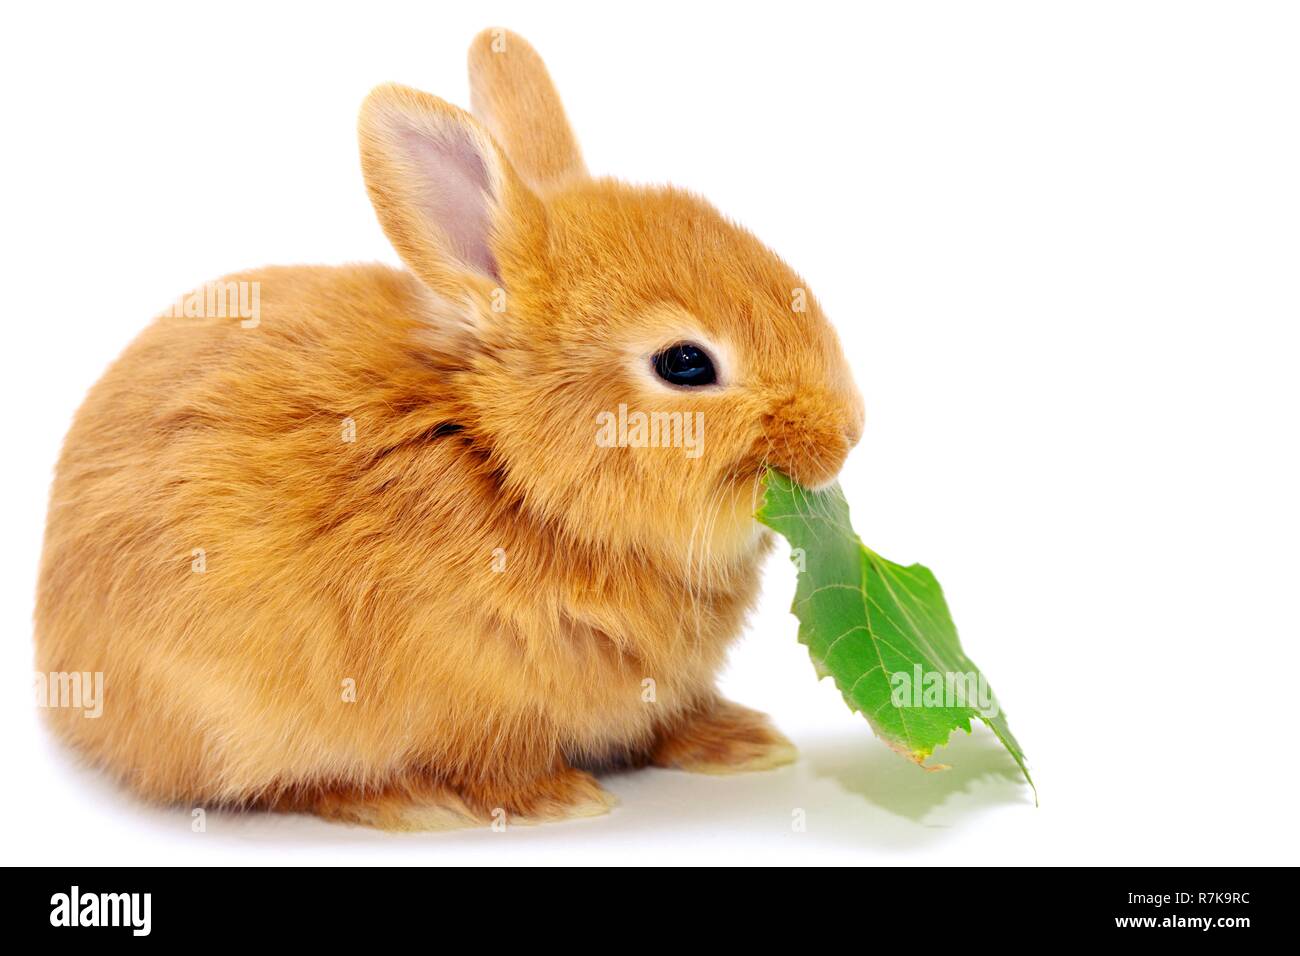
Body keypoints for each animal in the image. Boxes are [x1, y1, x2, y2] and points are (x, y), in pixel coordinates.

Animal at [34, 27, 864, 830]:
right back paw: (405, 803)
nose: (846, 434)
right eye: (685, 363)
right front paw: (555, 798)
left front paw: (740, 740)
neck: (503, 462)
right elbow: (492, 757)